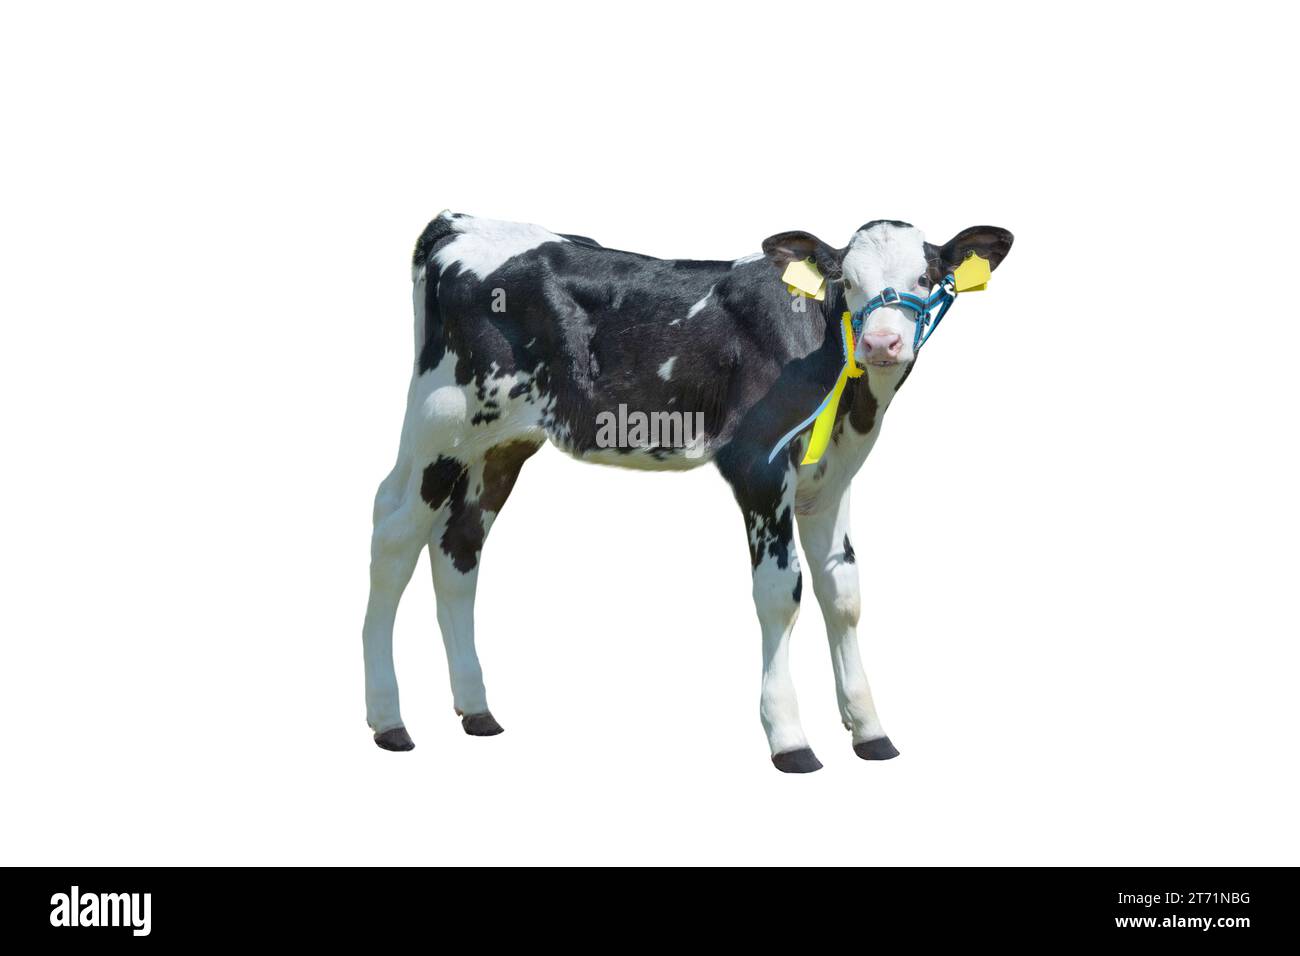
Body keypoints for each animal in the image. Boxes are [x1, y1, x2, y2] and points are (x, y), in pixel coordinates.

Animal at [363, 212, 1013, 772]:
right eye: (846, 281)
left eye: (925, 278)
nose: (879, 344)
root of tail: (460, 222)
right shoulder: (757, 464)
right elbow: (781, 593)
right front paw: (789, 737)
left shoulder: (831, 479)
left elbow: (844, 594)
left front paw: (870, 730)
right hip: (440, 422)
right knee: (392, 535)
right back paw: (389, 719)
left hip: (500, 443)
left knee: (459, 546)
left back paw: (476, 710)